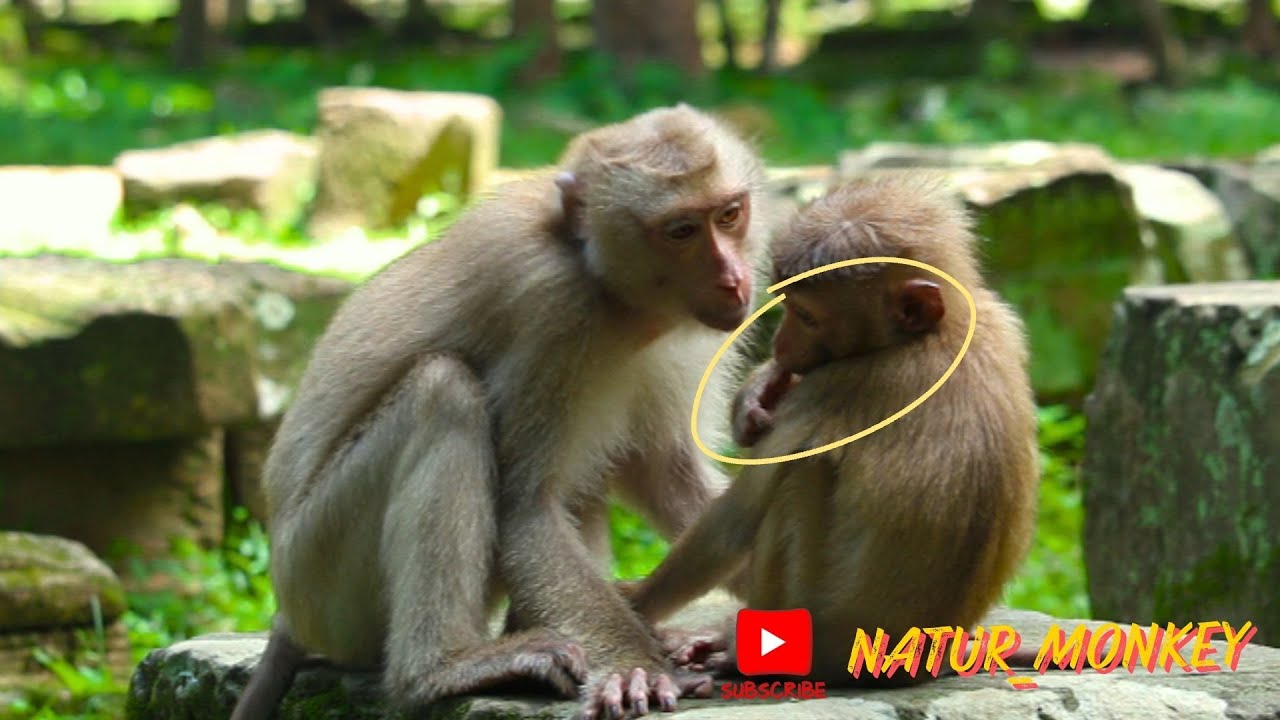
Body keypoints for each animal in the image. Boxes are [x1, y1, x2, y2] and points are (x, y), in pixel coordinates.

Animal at [228, 105, 771, 720]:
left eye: (729, 214)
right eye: (681, 231)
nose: (732, 278)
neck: (610, 290)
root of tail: (288, 615)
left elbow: (664, 470)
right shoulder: (555, 311)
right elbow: (525, 506)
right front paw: (635, 664)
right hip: (323, 580)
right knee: (444, 392)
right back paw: (440, 669)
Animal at [625, 173, 1039, 686]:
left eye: (806, 316)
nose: (780, 346)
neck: (940, 330)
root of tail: (932, 658)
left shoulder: (833, 387)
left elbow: (735, 520)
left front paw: (635, 602)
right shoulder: (1000, 313)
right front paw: (757, 394)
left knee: (795, 484)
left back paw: (738, 653)